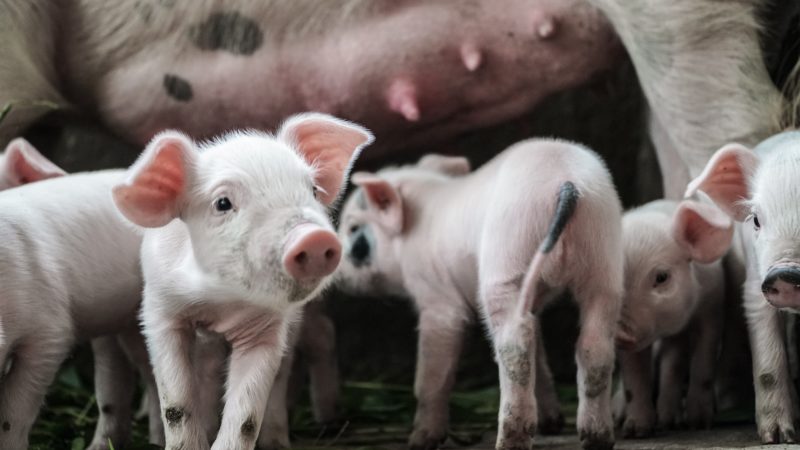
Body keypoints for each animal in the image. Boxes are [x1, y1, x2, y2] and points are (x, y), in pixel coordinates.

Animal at [110, 113, 372, 450]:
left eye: (313, 190)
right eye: (223, 203)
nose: (313, 237)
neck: (221, 303)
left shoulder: (266, 329)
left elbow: (247, 417)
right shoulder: (161, 313)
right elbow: (177, 404)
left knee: (316, 340)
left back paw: (313, 427)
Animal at [336, 141, 624, 450]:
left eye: (353, 229)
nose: (335, 272)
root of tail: (566, 183)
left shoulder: (437, 298)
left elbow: (432, 375)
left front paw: (420, 441)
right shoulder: (533, 303)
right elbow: (540, 357)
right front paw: (552, 425)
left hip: (506, 262)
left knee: (515, 346)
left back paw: (508, 442)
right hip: (603, 258)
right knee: (593, 345)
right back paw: (596, 439)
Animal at [612, 200, 732, 437]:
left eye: (661, 277)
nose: (620, 331)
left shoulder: (712, 307)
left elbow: (702, 362)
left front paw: (699, 424)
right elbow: (634, 377)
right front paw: (636, 431)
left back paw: (671, 421)